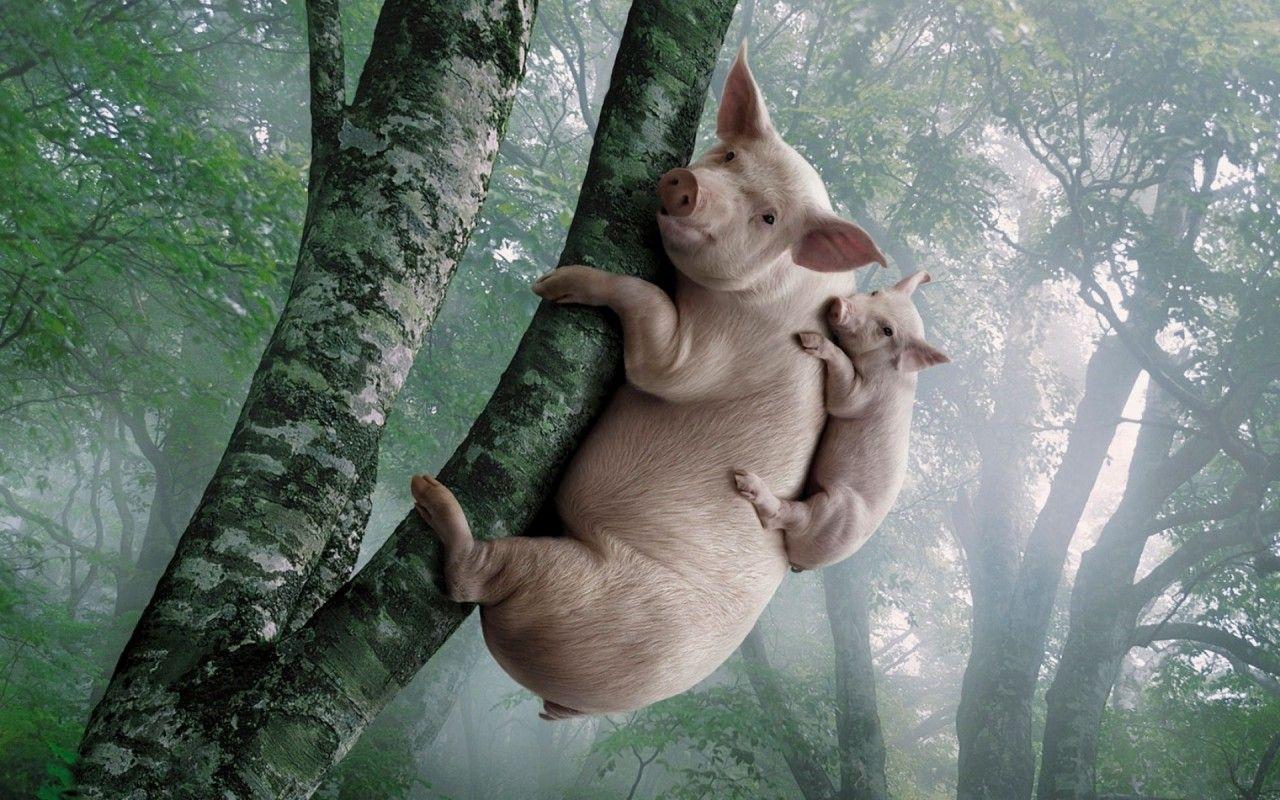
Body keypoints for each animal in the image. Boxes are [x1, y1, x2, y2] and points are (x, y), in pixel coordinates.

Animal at [409, 46, 885, 721]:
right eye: (730, 156)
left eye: (768, 218)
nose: (688, 186)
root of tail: (571, 701)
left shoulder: (715, 351)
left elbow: (655, 341)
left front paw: (551, 285)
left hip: (577, 592)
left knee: (474, 578)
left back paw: (429, 494)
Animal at [733, 270, 948, 570]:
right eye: (876, 293)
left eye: (887, 331)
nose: (840, 305)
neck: (887, 367)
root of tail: (803, 562)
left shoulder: (866, 394)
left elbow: (842, 396)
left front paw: (809, 340)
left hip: (832, 513)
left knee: (784, 518)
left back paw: (744, 480)